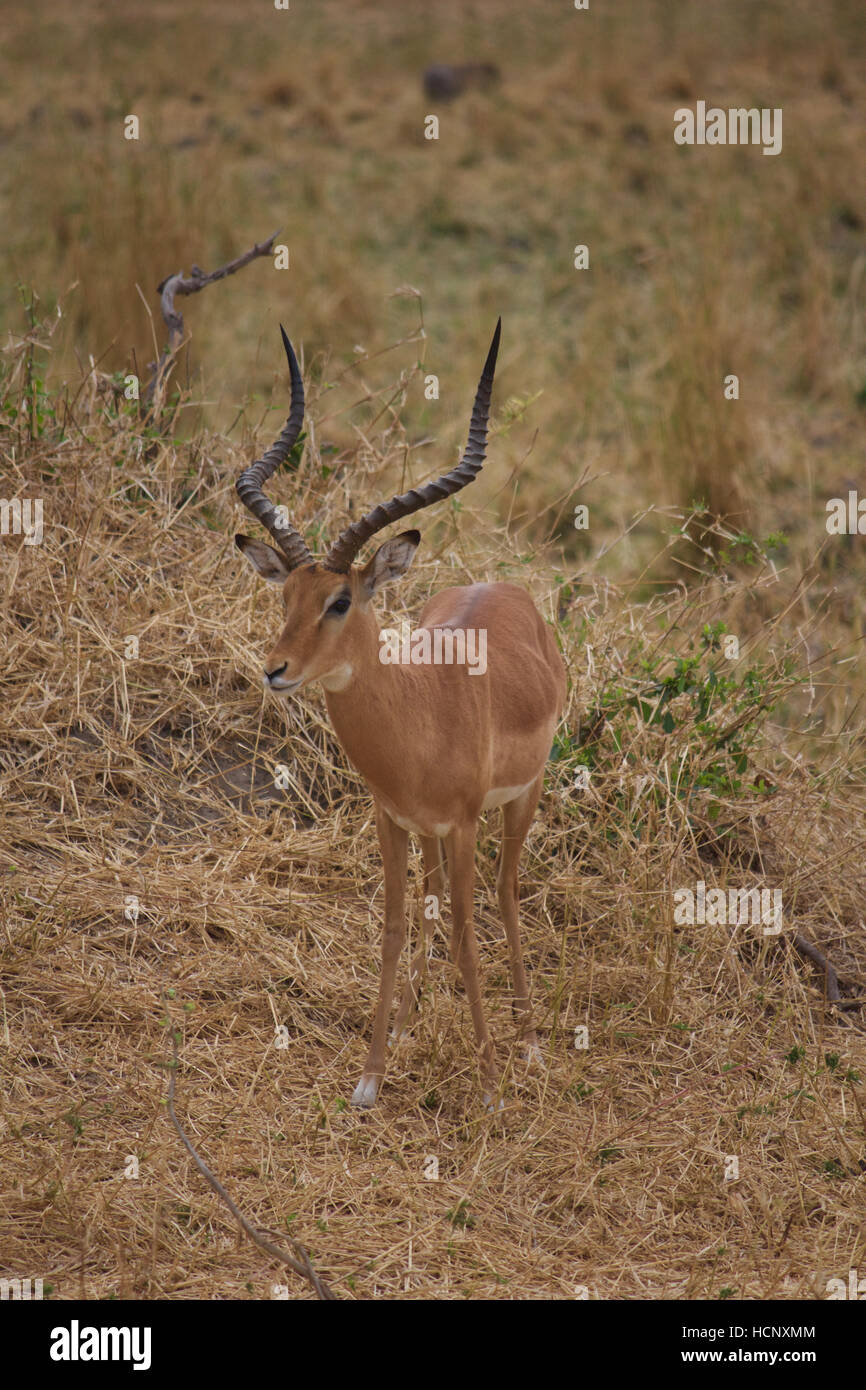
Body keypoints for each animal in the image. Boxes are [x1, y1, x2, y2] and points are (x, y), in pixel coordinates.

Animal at [235, 322, 566, 1108]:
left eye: (340, 601)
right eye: (285, 594)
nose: (276, 670)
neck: (421, 717)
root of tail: (504, 588)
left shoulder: (467, 822)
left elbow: (473, 928)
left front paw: (489, 1084)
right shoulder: (390, 818)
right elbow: (389, 923)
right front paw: (371, 1076)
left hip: (523, 799)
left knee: (504, 894)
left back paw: (528, 1041)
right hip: (430, 833)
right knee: (433, 896)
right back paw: (420, 1017)